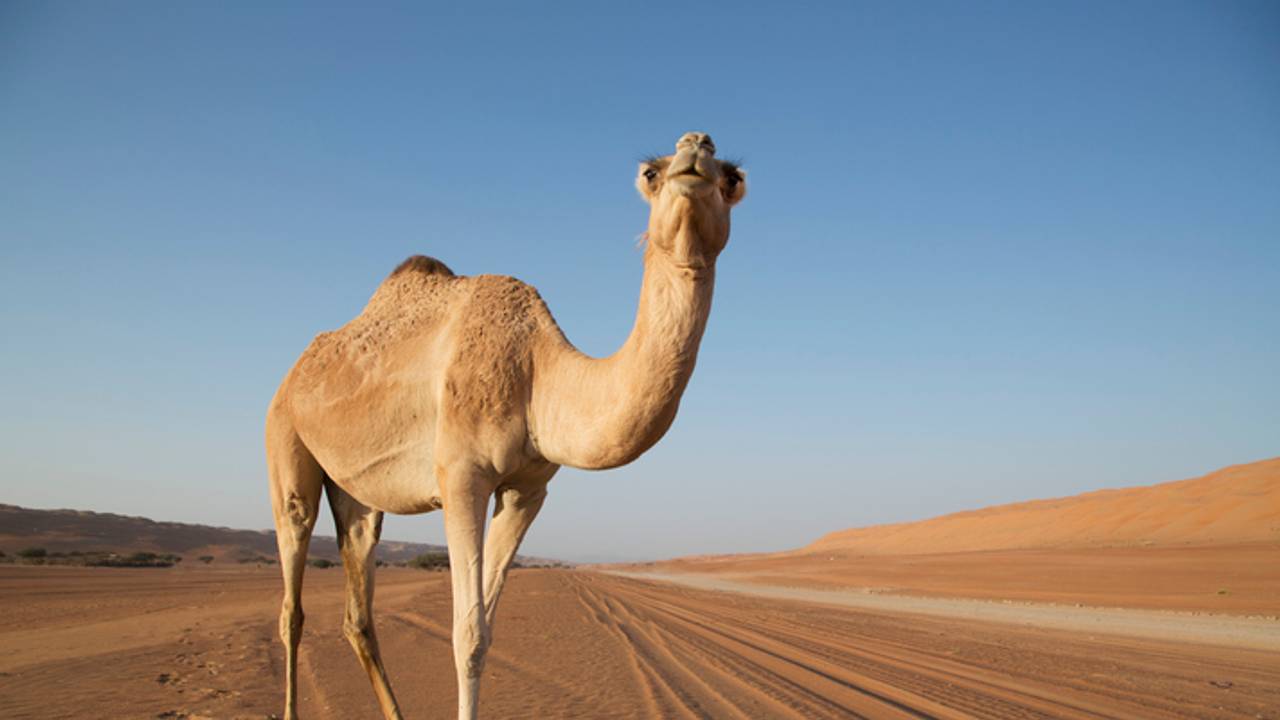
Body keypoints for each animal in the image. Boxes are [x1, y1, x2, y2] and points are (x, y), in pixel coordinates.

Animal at [265, 131, 746, 719]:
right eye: (651, 173)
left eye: (732, 178)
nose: (695, 148)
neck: (537, 371)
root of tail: (293, 374)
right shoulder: (461, 477)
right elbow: (465, 634)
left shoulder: (526, 490)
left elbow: (486, 630)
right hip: (284, 437)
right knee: (292, 593)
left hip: (358, 493)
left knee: (358, 602)